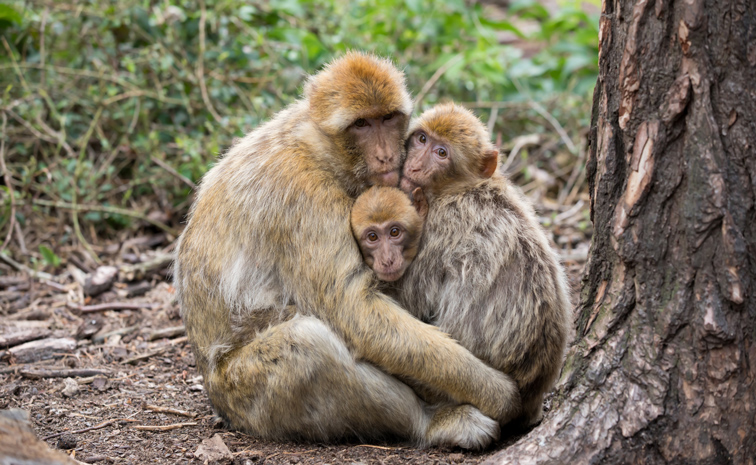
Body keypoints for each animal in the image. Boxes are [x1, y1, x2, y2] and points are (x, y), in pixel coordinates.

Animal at [174, 52, 521, 450]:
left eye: (387, 119)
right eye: (361, 124)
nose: (386, 155)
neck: (317, 148)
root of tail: (215, 396)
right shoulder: (305, 196)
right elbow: (353, 311)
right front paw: (496, 391)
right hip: (244, 396)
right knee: (308, 346)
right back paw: (430, 423)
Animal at [398, 102, 572, 428]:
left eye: (442, 153)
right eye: (422, 140)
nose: (413, 166)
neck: (464, 188)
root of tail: (531, 399)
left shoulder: (438, 225)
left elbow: (408, 300)